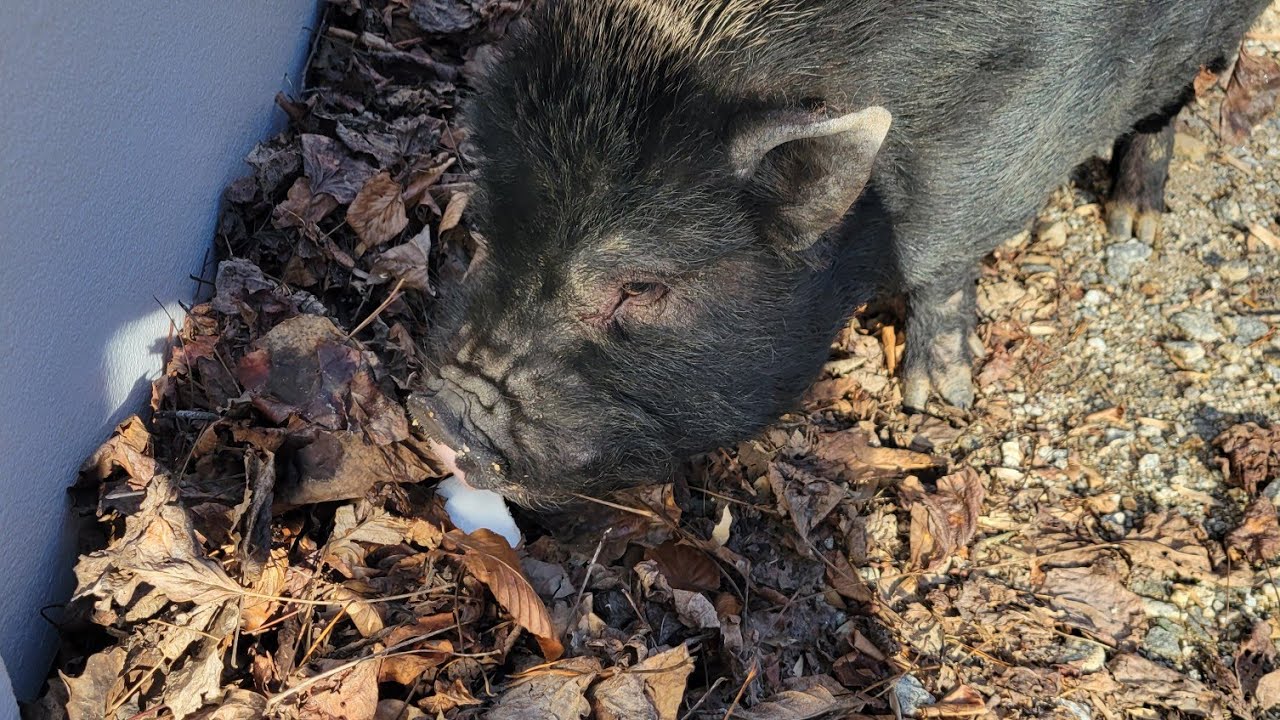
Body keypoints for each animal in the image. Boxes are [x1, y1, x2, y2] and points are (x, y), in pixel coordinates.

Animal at [409, 0, 1272, 503]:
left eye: (641, 286)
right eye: (481, 233)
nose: (437, 414)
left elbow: (942, 267)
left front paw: (936, 399)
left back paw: (1134, 226)